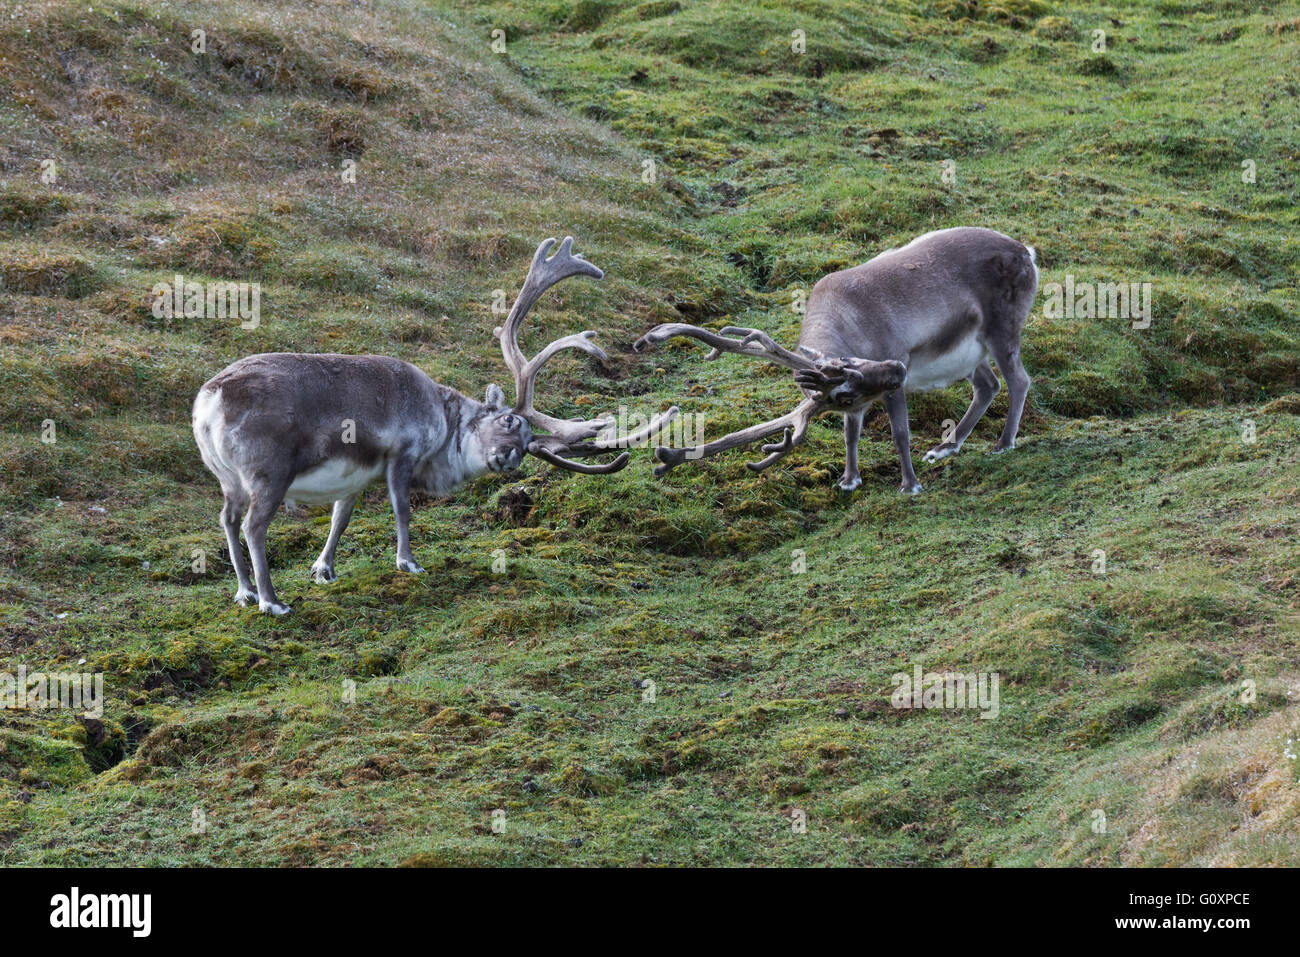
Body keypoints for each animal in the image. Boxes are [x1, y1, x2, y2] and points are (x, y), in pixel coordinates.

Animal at [192, 237, 675, 615]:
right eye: (509, 419)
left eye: (527, 446)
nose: (506, 458)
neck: (443, 423)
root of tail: (209, 400)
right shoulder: (400, 454)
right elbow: (402, 509)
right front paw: (408, 562)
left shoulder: (354, 476)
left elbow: (340, 518)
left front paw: (324, 568)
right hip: (269, 472)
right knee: (253, 526)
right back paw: (271, 600)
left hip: (228, 478)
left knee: (227, 519)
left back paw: (244, 591)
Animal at [634, 227, 1039, 494]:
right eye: (843, 394)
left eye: (851, 361)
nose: (898, 369)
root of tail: (1027, 252)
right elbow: (850, 434)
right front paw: (849, 479)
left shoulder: (895, 363)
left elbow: (900, 434)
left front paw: (909, 484)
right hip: (969, 353)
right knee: (988, 385)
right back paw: (945, 447)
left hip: (1001, 329)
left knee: (1018, 380)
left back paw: (1003, 443)